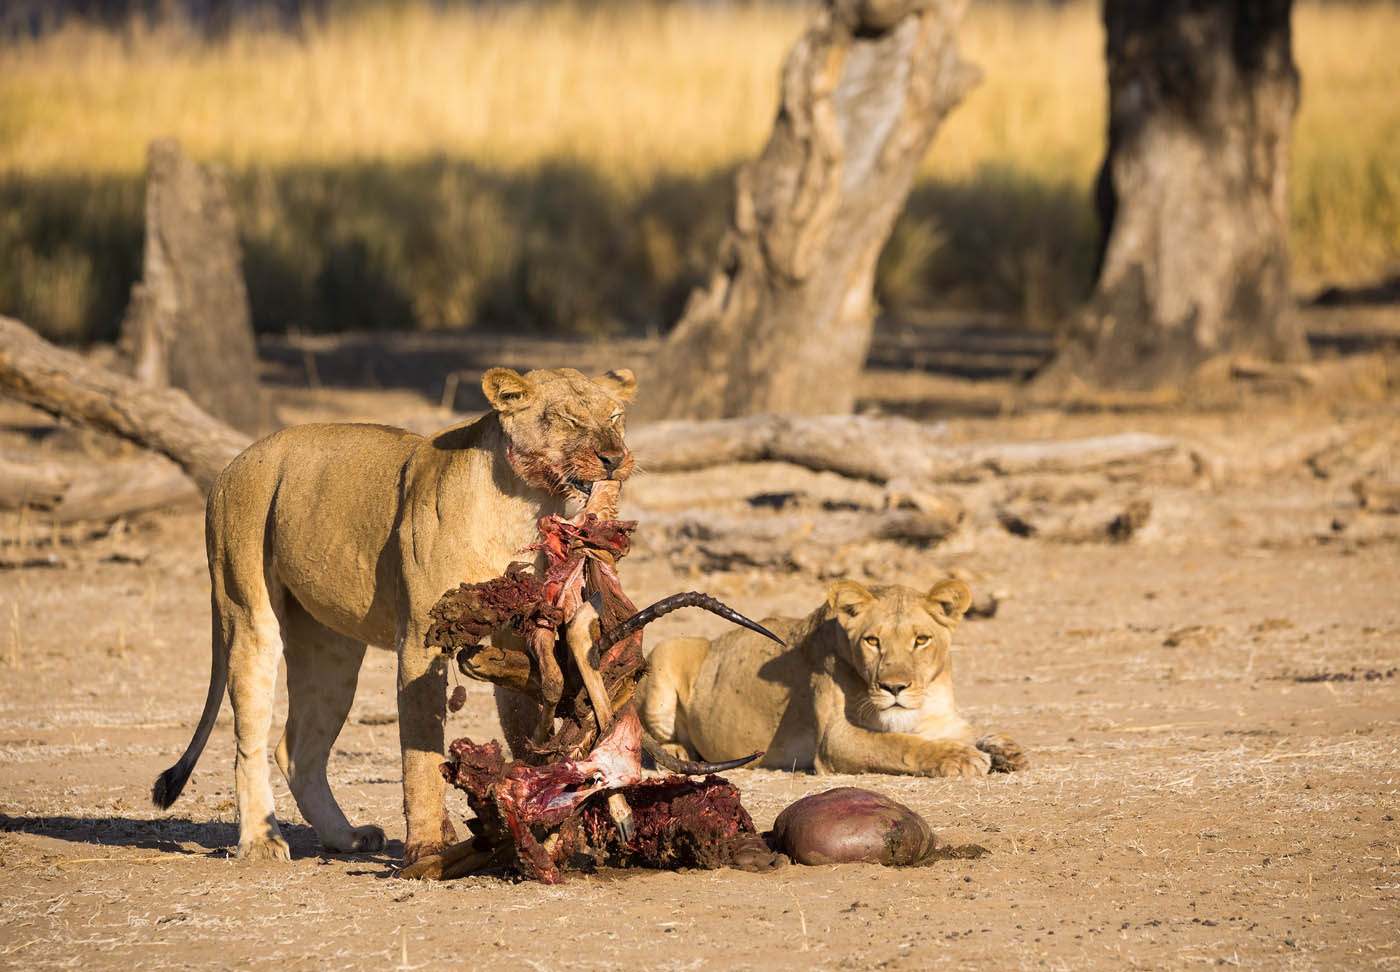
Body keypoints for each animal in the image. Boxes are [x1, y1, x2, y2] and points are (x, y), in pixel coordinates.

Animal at [152, 366, 640, 864]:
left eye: (615, 417)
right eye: (569, 419)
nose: (615, 459)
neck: (527, 503)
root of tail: (233, 463)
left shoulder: (518, 635)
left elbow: (523, 722)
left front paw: (537, 809)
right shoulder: (423, 635)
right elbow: (422, 752)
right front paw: (426, 846)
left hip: (332, 652)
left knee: (297, 750)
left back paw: (345, 836)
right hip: (248, 608)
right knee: (249, 737)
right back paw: (261, 841)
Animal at [640, 579, 1027, 777]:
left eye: (921, 640)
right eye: (872, 641)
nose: (894, 688)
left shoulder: (944, 721)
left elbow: (973, 733)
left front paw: (1004, 748)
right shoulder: (835, 740)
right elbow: (901, 745)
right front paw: (960, 758)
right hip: (667, 650)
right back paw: (676, 751)